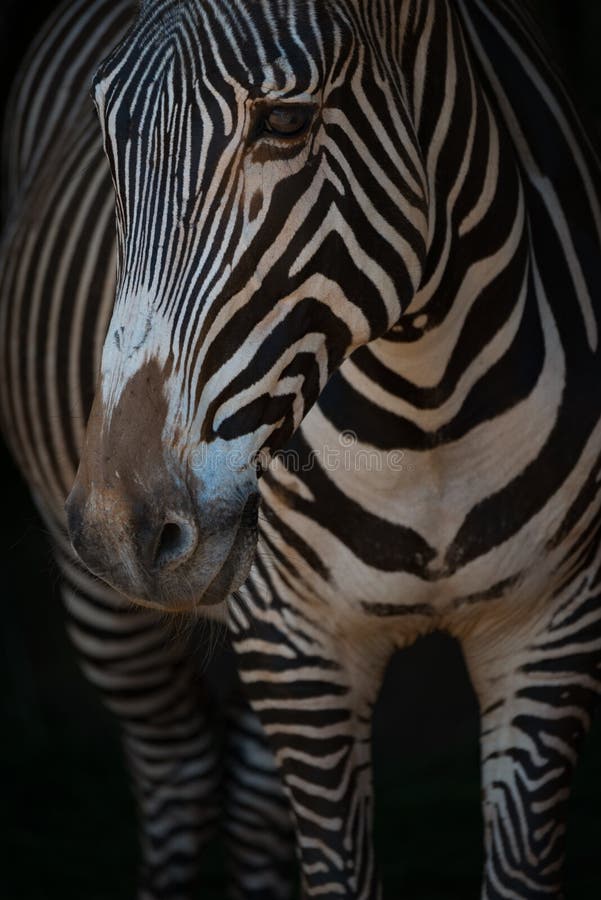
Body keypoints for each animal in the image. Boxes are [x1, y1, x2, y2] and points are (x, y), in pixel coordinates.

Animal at [53, 0, 601, 897]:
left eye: (284, 123)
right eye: (107, 134)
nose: (114, 529)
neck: (425, 405)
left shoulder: (554, 626)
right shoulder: (292, 642)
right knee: (176, 770)